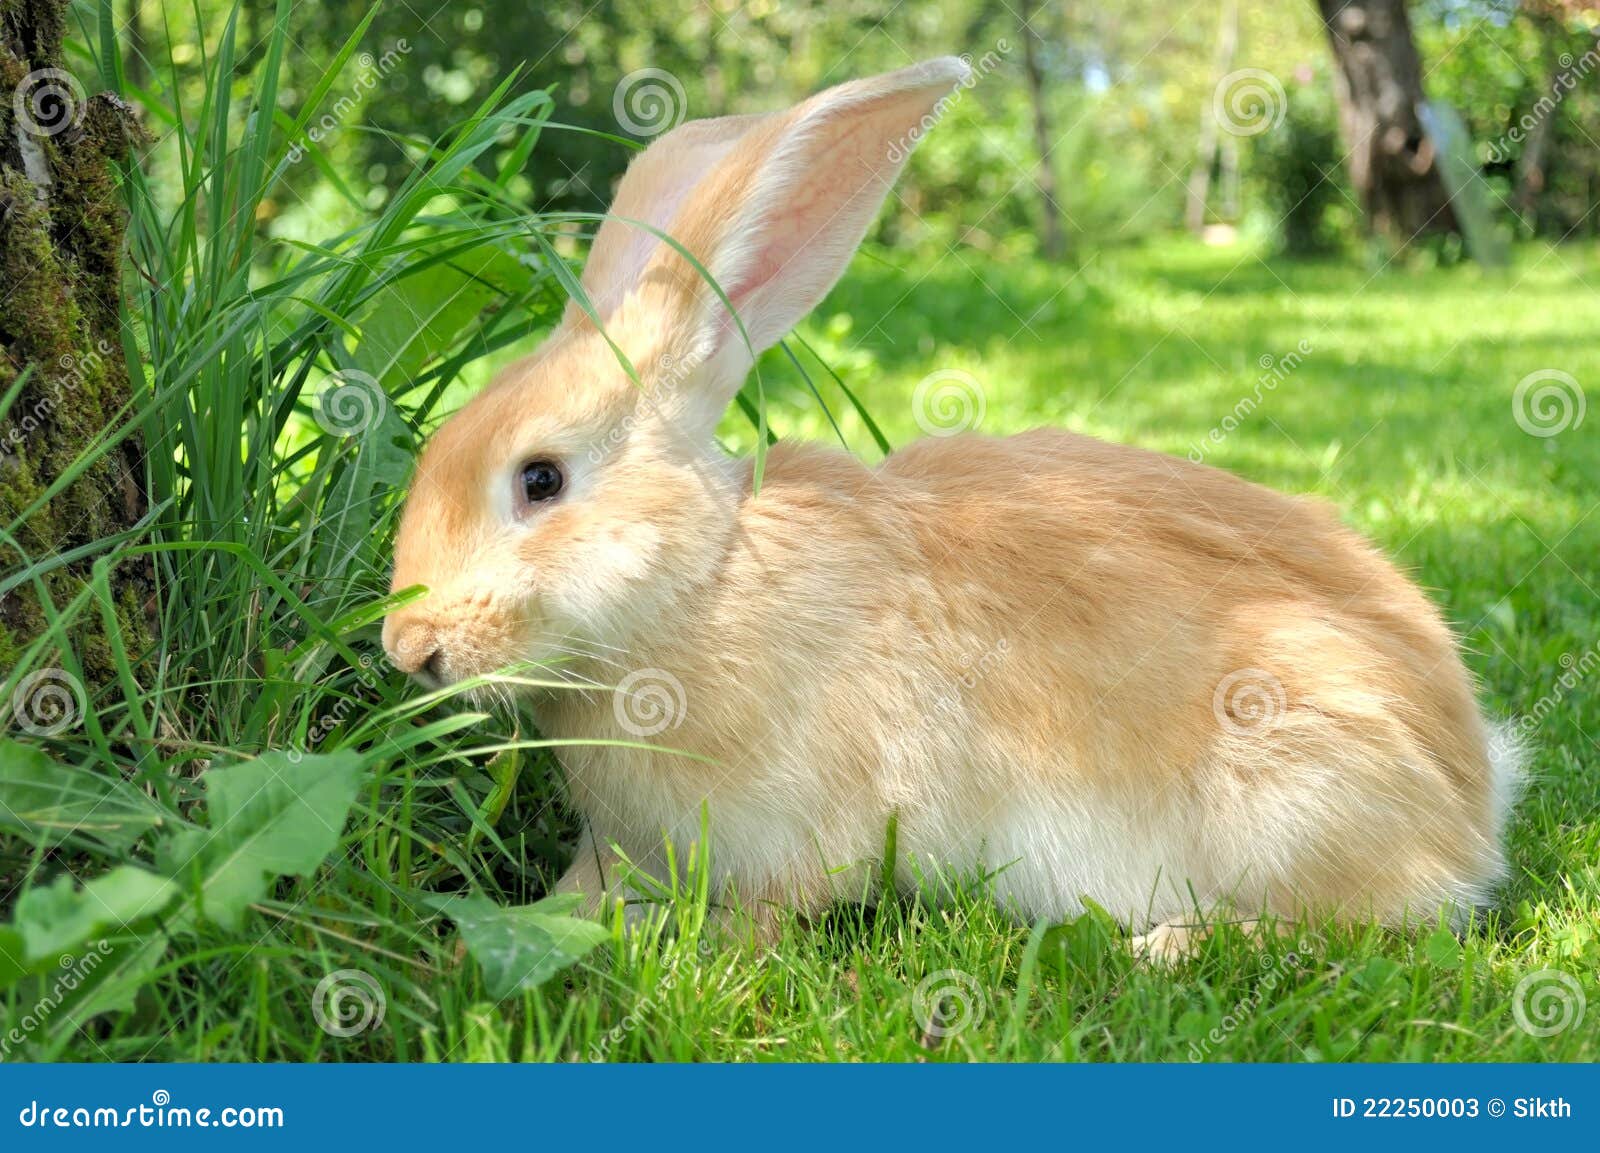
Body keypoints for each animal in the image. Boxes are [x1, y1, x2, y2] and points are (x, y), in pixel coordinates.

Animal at [381, 58, 1523, 958]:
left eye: (540, 479)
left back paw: (1172, 944)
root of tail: (1473, 802)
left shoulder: (798, 826)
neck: (699, 582)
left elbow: (774, 908)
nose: (407, 647)